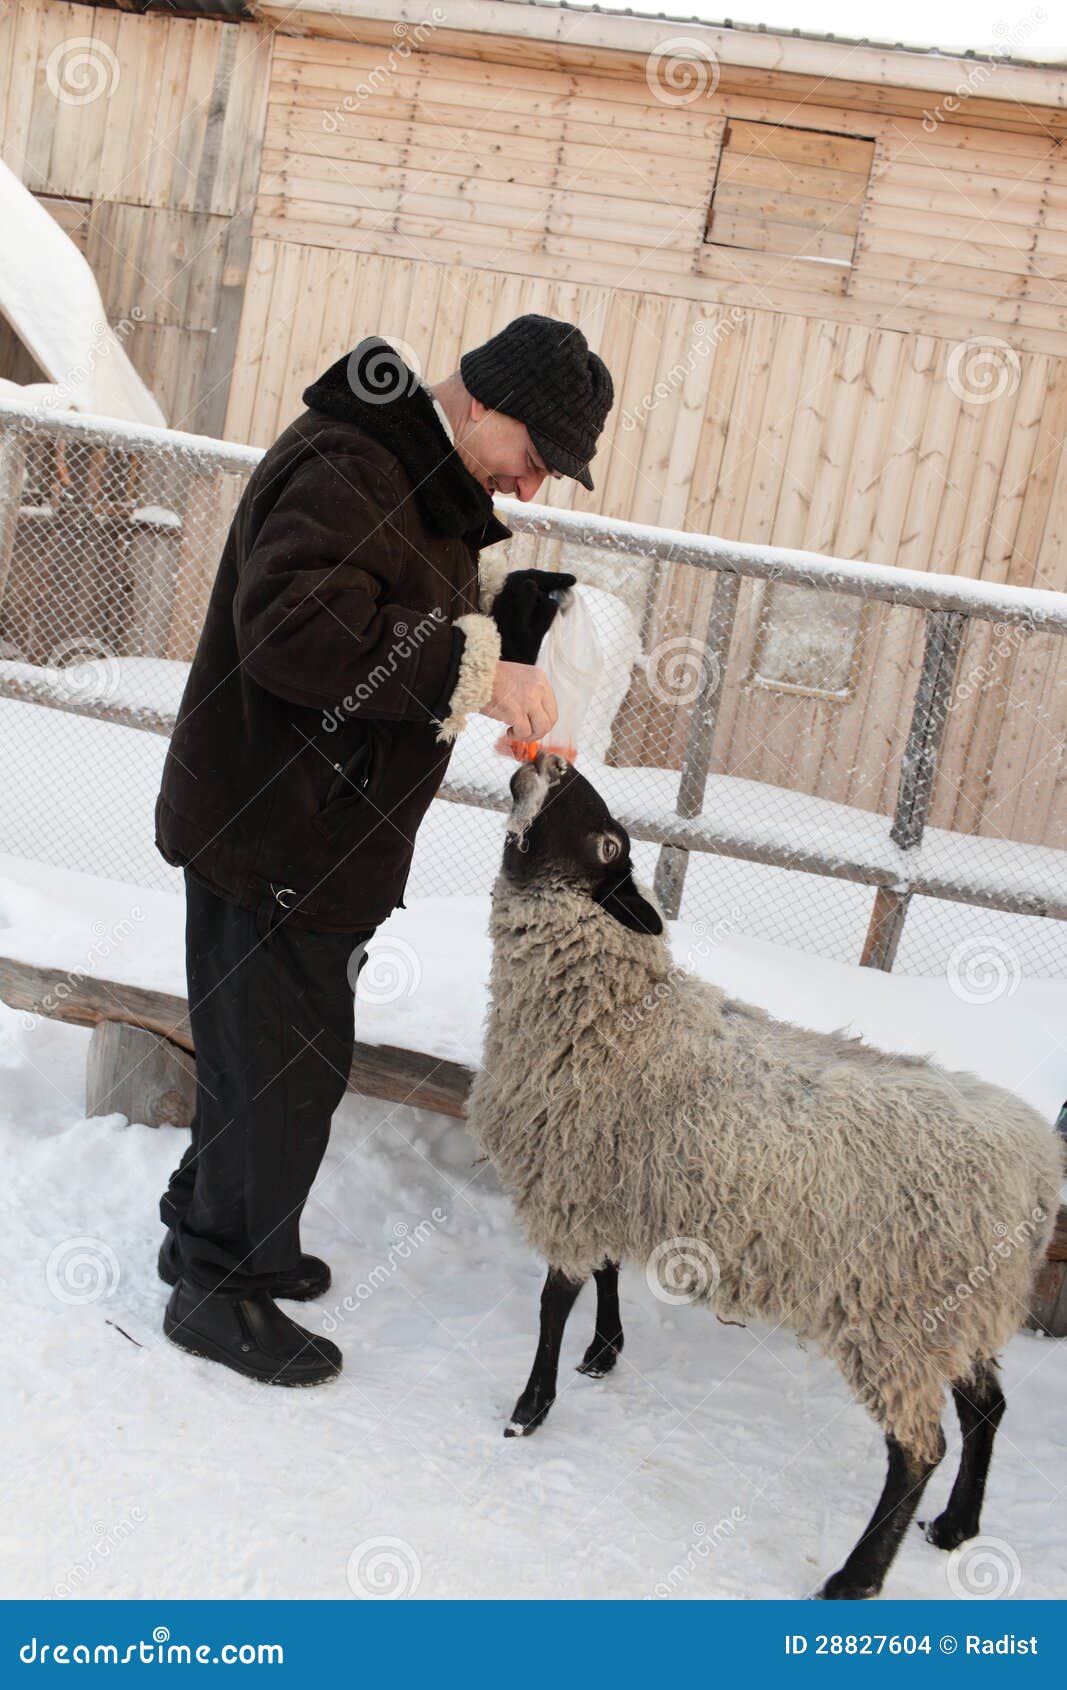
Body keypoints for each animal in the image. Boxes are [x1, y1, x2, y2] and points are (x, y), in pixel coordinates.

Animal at [465, 751, 1065, 1600]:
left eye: (607, 843)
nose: (551, 758)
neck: (619, 1019)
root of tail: (1039, 1168)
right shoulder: (611, 1178)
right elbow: (607, 1273)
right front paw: (604, 1352)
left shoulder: (572, 1184)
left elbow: (553, 1302)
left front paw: (529, 1407)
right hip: (961, 1309)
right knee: (987, 1410)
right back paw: (955, 1526)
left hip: (900, 1315)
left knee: (919, 1448)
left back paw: (856, 1576)